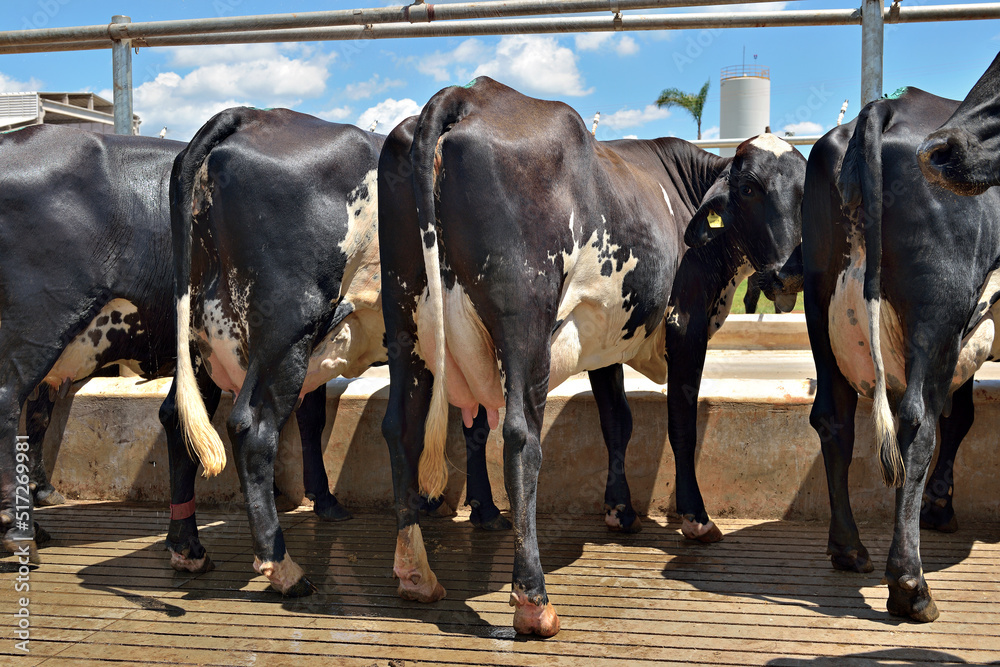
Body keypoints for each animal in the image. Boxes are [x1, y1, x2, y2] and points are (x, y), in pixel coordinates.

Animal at [0, 124, 356, 567]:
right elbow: (307, 416)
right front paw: (323, 498)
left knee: (33, 415)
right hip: (39, 323)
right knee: (9, 405)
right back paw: (22, 532)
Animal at [170, 107, 509, 596]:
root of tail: (251, 115)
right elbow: (474, 426)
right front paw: (483, 509)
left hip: (203, 339)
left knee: (177, 420)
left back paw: (187, 548)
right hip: (288, 330)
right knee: (252, 430)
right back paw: (284, 569)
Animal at [377, 77, 805, 636]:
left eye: (806, 191)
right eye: (750, 189)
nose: (787, 274)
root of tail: (469, 94)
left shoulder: (604, 339)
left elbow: (617, 421)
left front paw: (620, 509)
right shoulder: (686, 327)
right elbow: (681, 426)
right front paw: (696, 518)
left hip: (404, 320)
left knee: (399, 428)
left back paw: (415, 574)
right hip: (525, 322)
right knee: (520, 437)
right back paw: (533, 598)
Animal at [802, 87, 1000, 622]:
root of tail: (887, 105)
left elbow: (962, 413)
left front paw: (940, 506)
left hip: (819, 299)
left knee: (833, 418)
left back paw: (848, 550)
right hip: (939, 310)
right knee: (917, 424)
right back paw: (910, 586)